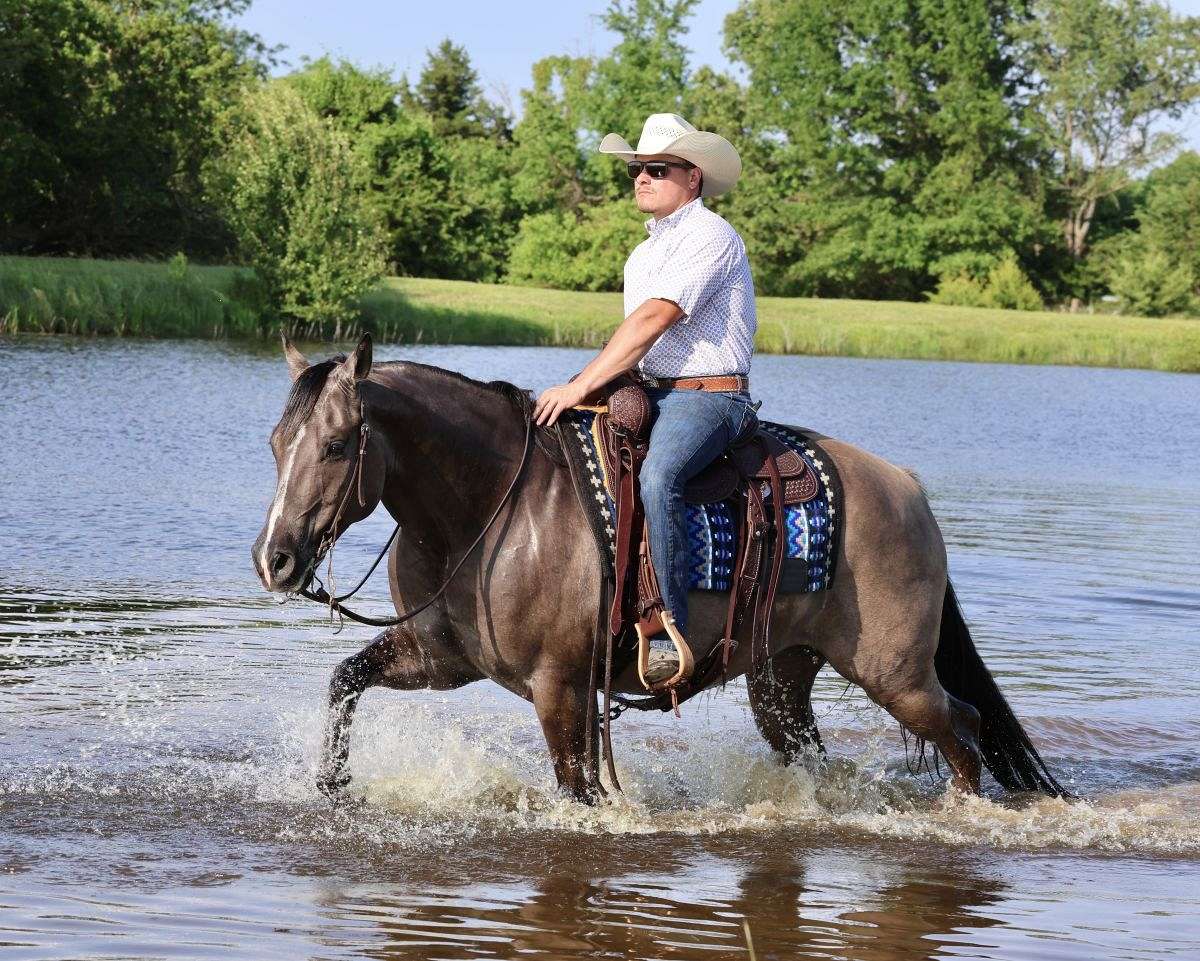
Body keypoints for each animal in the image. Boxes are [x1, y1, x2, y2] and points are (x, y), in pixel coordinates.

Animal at [252, 333, 1066, 802]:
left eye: (336, 445)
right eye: (275, 442)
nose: (275, 558)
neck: (489, 506)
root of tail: (907, 488)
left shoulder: (560, 688)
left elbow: (578, 789)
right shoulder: (438, 657)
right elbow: (345, 680)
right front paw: (334, 785)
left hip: (895, 674)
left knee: (963, 725)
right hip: (783, 680)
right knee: (820, 750)